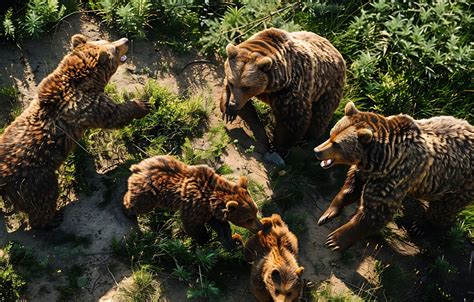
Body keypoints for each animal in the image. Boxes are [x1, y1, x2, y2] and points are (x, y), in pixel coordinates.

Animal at [0, 34, 150, 229]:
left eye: (107, 41)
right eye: (114, 48)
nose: (124, 40)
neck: (85, 81)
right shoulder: (86, 104)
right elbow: (113, 115)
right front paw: (142, 105)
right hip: (34, 181)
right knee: (44, 201)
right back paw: (52, 219)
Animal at [122, 156, 262, 250]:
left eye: (256, 212)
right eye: (248, 219)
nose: (260, 227)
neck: (212, 199)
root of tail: (139, 167)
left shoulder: (210, 211)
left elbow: (221, 227)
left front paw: (233, 241)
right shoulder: (195, 204)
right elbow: (193, 226)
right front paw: (204, 240)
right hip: (149, 190)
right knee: (139, 202)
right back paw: (127, 211)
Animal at [220, 27, 346, 164]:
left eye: (247, 87)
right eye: (232, 83)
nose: (234, 104)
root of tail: (337, 51)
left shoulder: (292, 88)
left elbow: (293, 119)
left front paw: (279, 148)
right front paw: (228, 111)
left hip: (327, 88)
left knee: (321, 115)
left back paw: (307, 139)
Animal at [314, 102, 474, 251]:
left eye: (337, 144)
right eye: (331, 134)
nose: (317, 151)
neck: (380, 160)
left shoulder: (395, 176)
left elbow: (375, 212)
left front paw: (334, 240)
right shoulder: (366, 171)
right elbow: (351, 187)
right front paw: (327, 213)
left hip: (459, 184)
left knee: (443, 209)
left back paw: (420, 227)